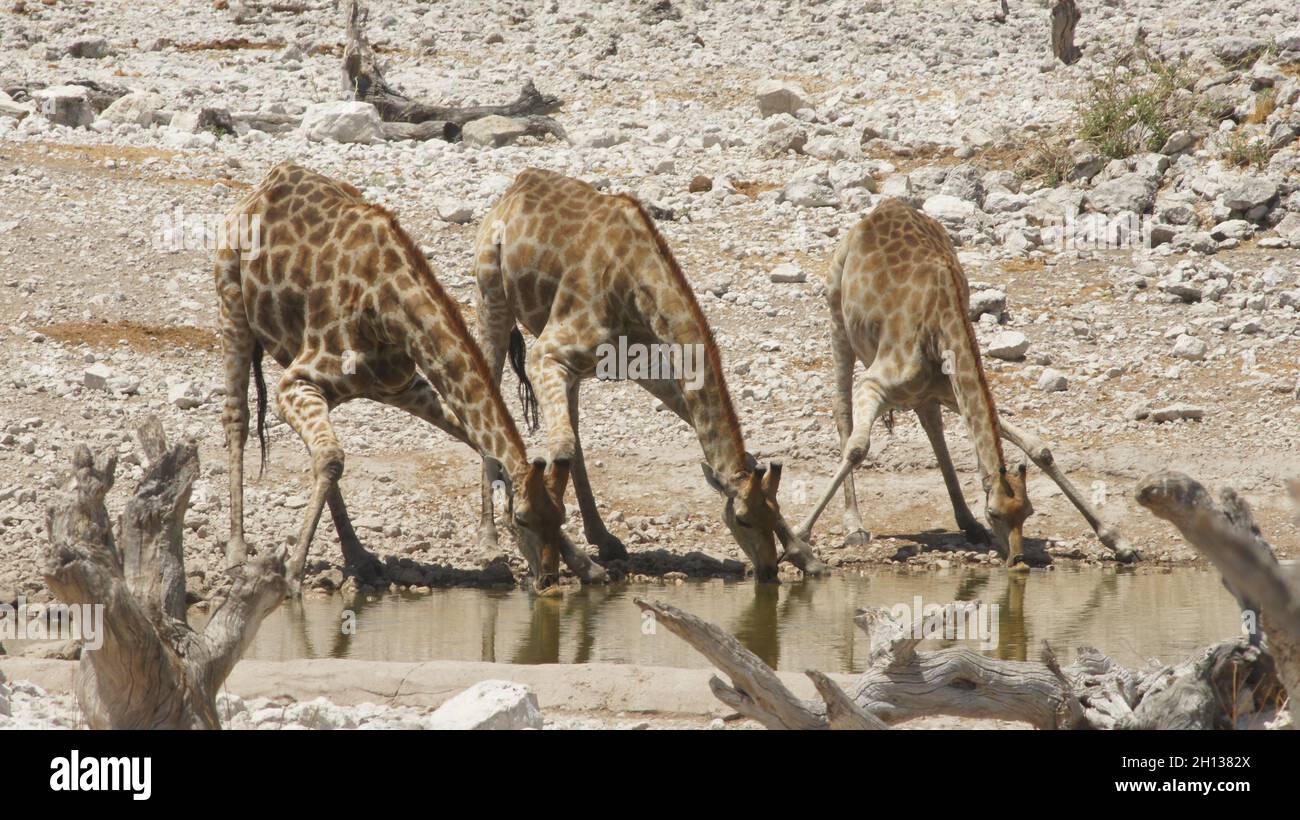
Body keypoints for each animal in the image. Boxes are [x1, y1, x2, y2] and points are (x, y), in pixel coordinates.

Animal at [214, 162, 606, 594]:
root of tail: (263, 185)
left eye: (561, 515)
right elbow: (333, 458)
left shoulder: (404, 386)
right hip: (231, 301)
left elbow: (475, 441)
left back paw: (359, 555)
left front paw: (588, 565)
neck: (386, 307)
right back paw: (236, 550)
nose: (548, 579)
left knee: (313, 450)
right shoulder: (298, 382)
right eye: (520, 519)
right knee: (237, 418)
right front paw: (293, 573)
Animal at [472, 168, 826, 582]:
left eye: (773, 509)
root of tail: (512, 190)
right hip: (491, 301)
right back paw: (489, 539)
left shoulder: (640, 363)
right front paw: (573, 560)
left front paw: (806, 555)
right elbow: (561, 449)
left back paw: (605, 539)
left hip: (571, 367)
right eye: (742, 519)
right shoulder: (547, 355)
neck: (632, 283)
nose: (769, 570)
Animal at [794, 197, 1134, 568]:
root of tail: (882, 207)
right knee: (841, 408)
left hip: (925, 390)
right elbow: (857, 449)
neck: (940, 325)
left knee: (931, 425)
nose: (1017, 559)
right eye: (995, 513)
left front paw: (1118, 540)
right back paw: (854, 526)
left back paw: (967, 523)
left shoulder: (948, 388)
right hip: (836, 309)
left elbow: (1038, 448)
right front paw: (797, 539)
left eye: (1028, 512)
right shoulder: (875, 383)